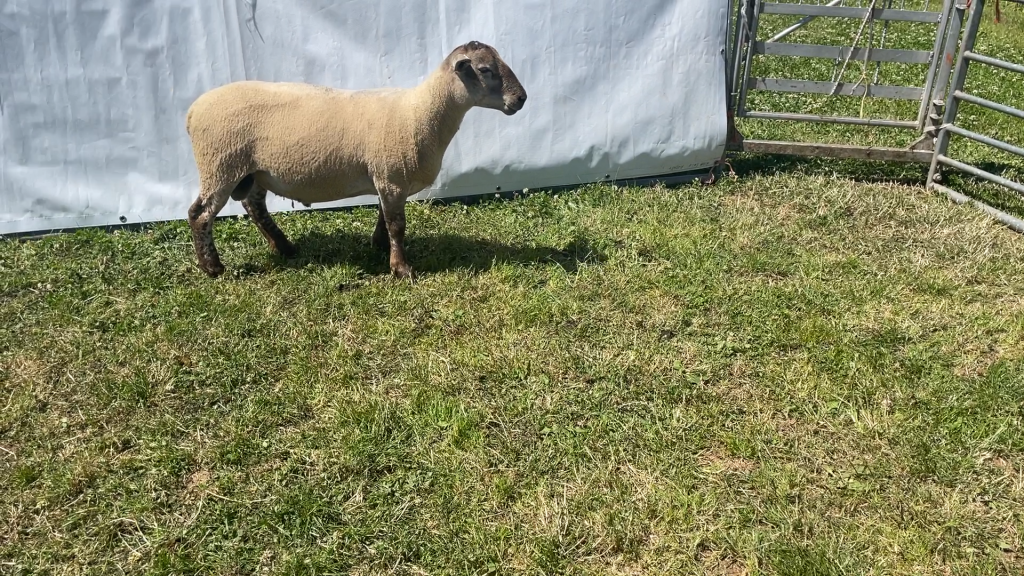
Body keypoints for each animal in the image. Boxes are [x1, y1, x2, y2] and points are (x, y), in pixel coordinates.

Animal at [184, 40, 527, 280]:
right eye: (485, 70)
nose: (522, 99)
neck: (420, 112)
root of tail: (192, 111)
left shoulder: (387, 177)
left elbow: (384, 217)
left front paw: (379, 245)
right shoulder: (391, 175)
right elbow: (397, 224)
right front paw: (401, 269)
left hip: (253, 170)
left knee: (254, 206)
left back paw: (285, 248)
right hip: (220, 164)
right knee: (200, 214)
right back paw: (213, 267)